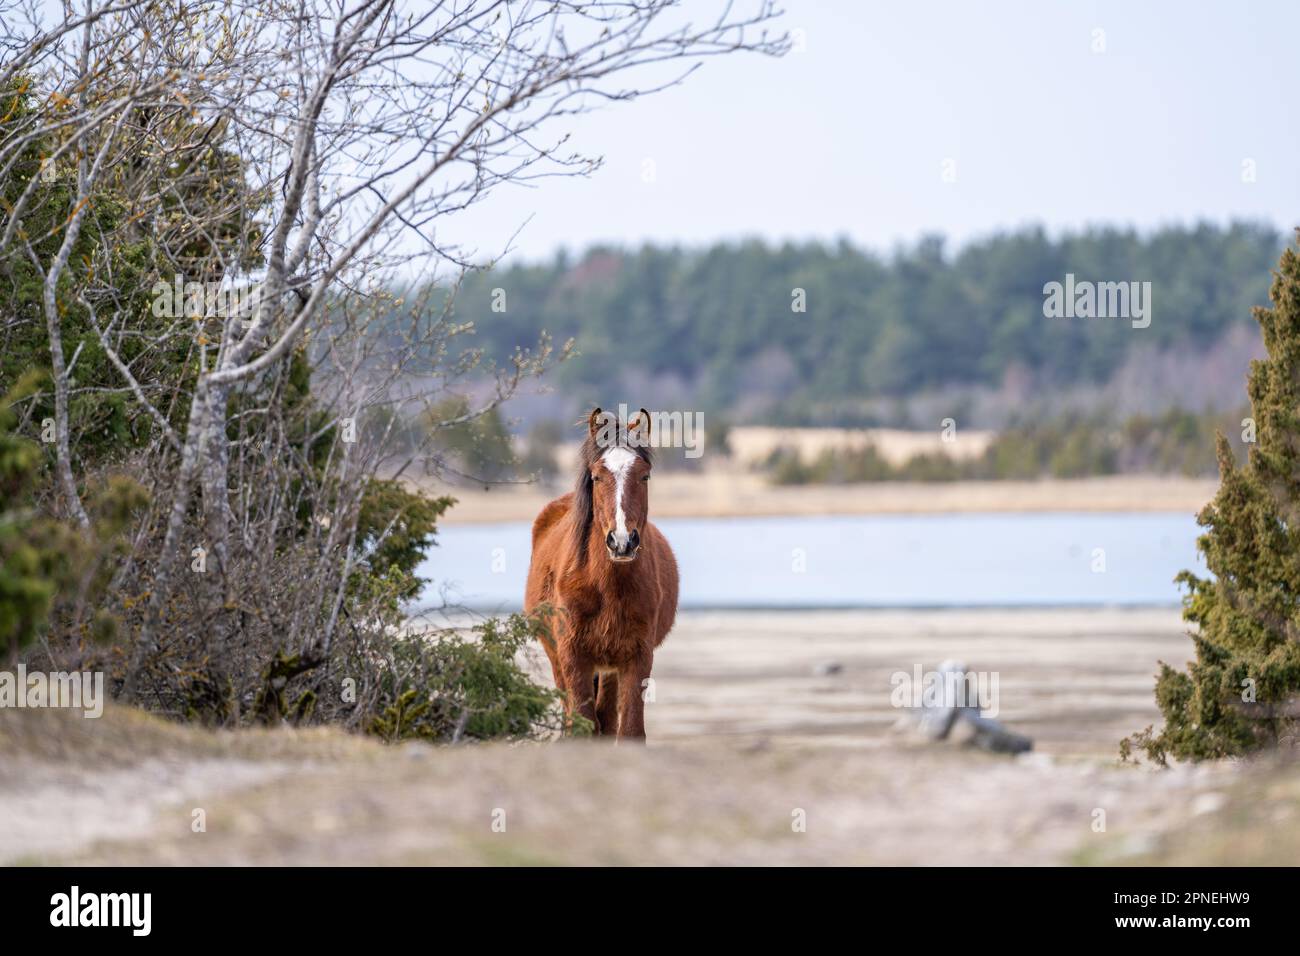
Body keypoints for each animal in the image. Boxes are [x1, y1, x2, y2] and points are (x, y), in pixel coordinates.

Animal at [524, 407, 679, 742]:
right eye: (597, 476)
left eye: (644, 475)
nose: (622, 541)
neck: (607, 586)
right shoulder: (573, 656)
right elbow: (582, 725)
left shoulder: (637, 657)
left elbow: (630, 731)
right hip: (559, 661)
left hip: (609, 668)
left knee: (606, 720)